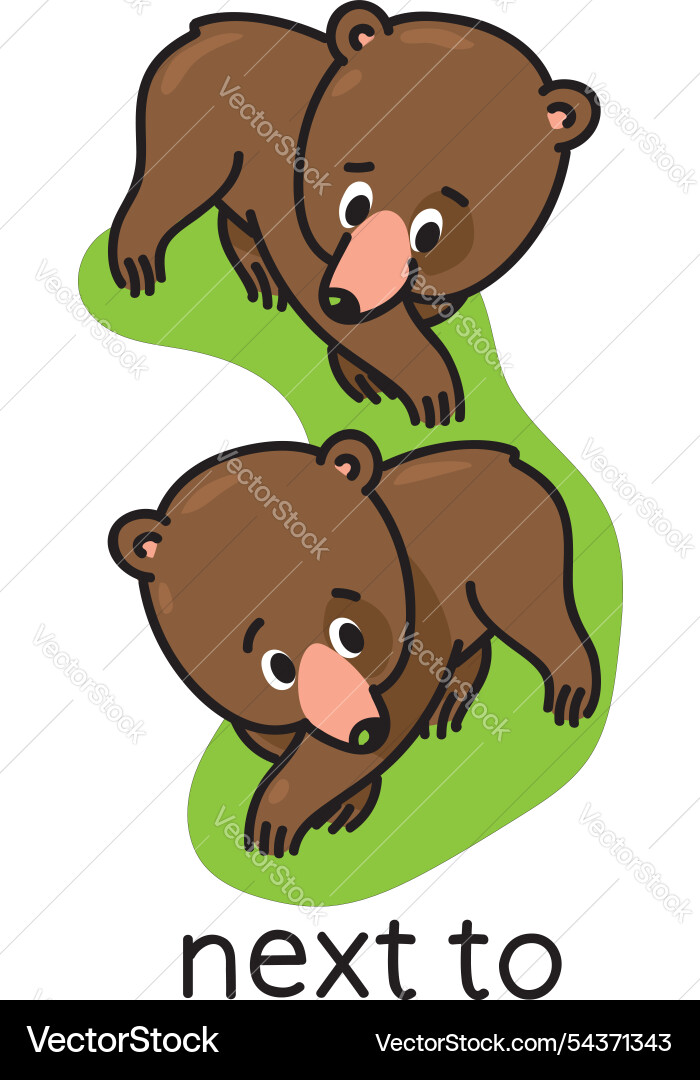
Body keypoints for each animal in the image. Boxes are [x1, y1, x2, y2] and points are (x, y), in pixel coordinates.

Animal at [109, 3, 599, 427]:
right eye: (354, 204)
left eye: (430, 231)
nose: (344, 298)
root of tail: (197, 31)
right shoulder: (294, 205)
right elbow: (332, 296)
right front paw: (433, 393)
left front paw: (363, 372)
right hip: (195, 129)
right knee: (170, 187)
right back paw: (139, 267)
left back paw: (262, 281)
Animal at [109, 430, 600, 857]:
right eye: (277, 666)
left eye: (350, 635)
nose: (363, 726)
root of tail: (508, 456)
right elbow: (284, 736)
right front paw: (345, 802)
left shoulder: (415, 625)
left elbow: (379, 720)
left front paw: (274, 824)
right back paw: (446, 709)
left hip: (515, 554)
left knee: (538, 617)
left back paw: (569, 696)